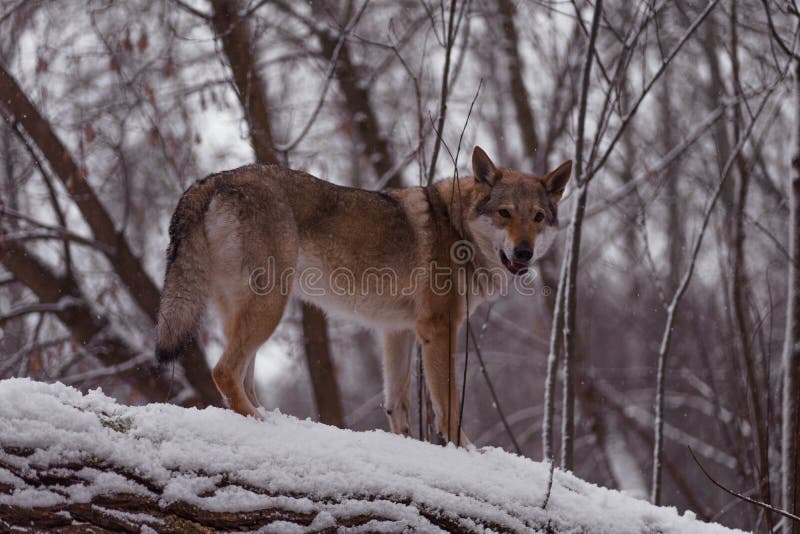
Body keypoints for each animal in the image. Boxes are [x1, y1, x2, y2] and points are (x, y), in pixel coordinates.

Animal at [156, 146, 571, 445]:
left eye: (537, 217)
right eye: (505, 213)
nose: (523, 253)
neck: (458, 231)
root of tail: (210, 182)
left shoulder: (398, 331)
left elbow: (397, 407)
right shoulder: (439, 330)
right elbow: (448, 407)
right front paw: (468, 452)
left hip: (249, 313)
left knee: (241, 379)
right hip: (269, 307)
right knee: (223, 371)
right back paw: (262, 424)